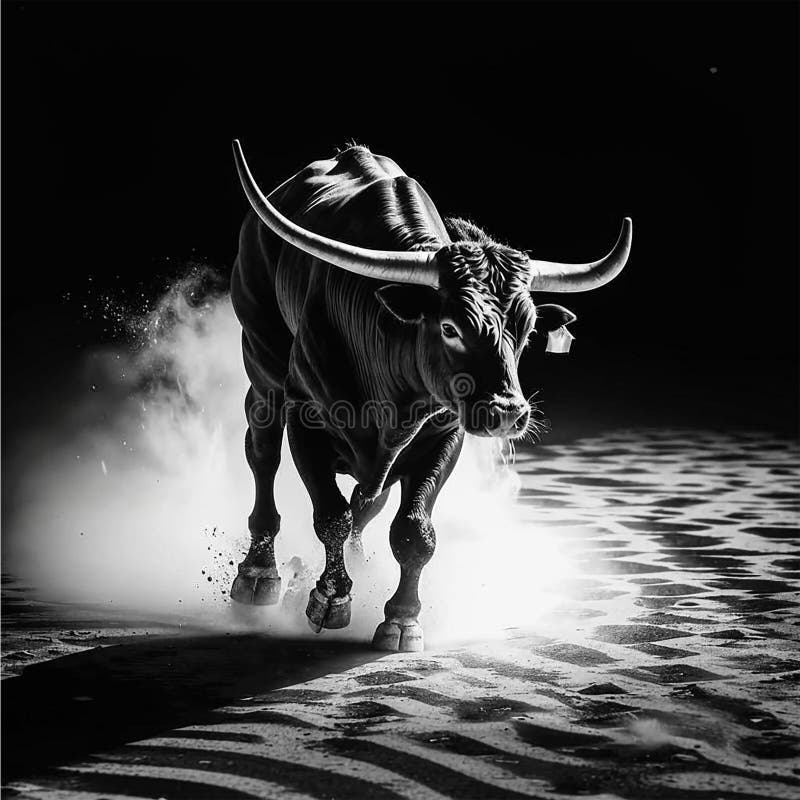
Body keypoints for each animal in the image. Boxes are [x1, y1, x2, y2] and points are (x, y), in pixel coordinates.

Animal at [229, 140, 632, 651]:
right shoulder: (306, 418)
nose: (506, 412)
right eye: (451, 328)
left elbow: (413, 532)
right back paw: (258, 574)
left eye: (527, 330)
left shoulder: (443, 438)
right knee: (263, 456)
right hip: (262, 365)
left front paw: (401, 618)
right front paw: (330, 598)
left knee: (368, 501)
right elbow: (330, 515)